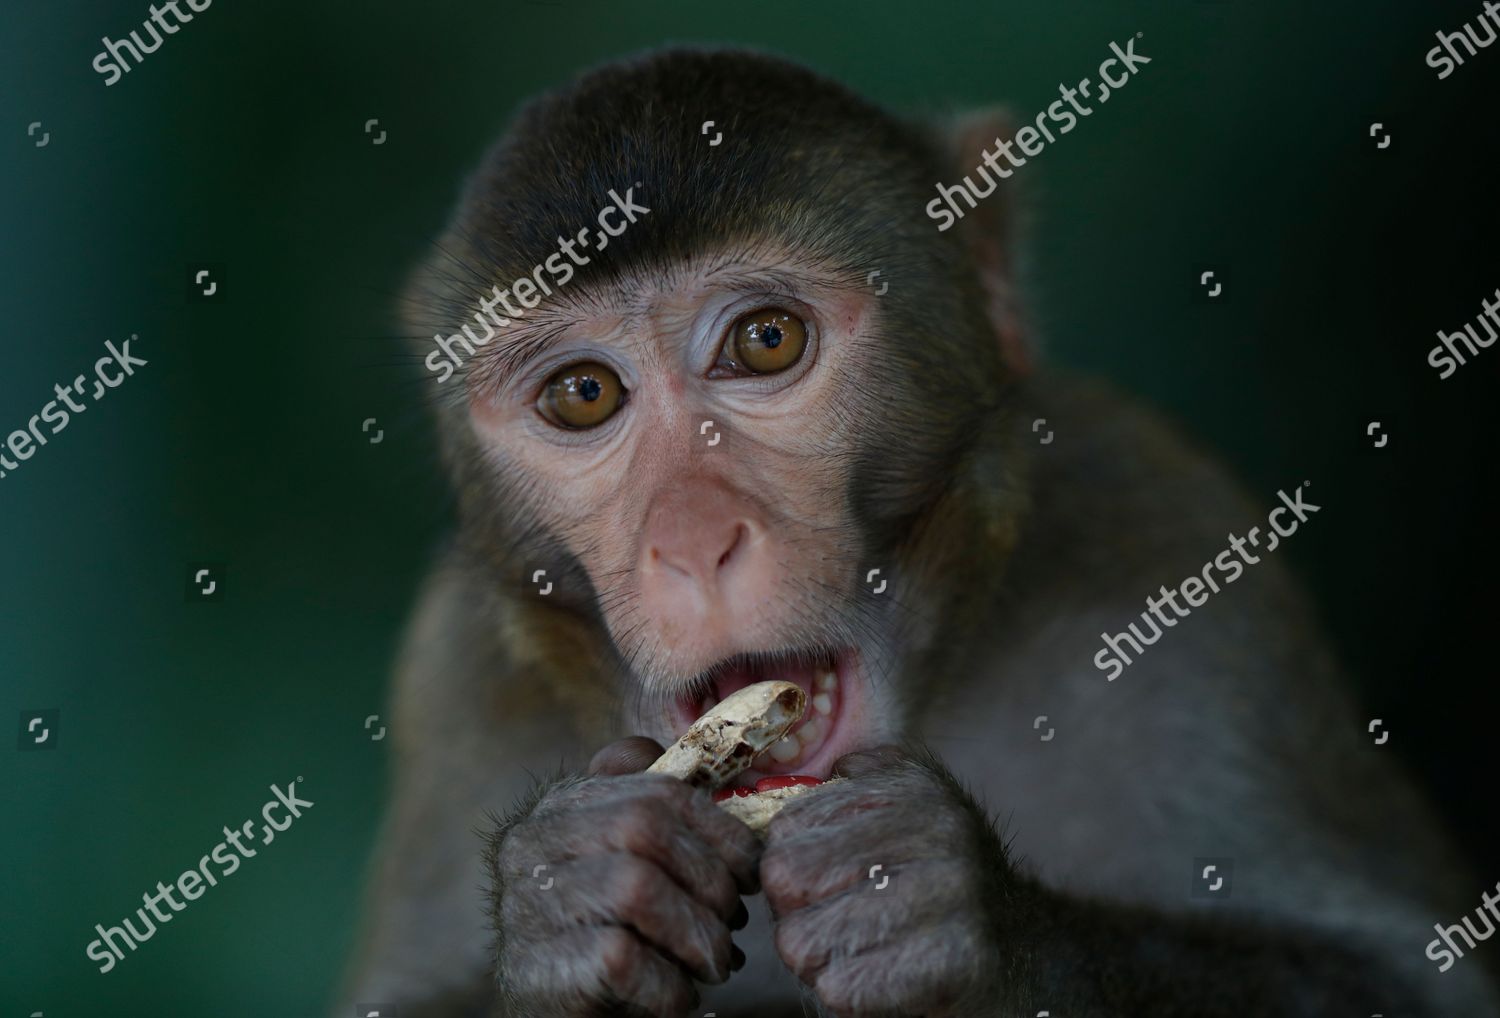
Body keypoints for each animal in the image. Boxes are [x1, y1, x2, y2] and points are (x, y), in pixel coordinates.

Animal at [337, 48, 1500, 1017]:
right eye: (583, 395)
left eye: (766, 340)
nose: (695, 543)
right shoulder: (454, 673)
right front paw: (567, 893)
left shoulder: (1175, 536)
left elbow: (1411, 976)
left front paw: (950, 911)